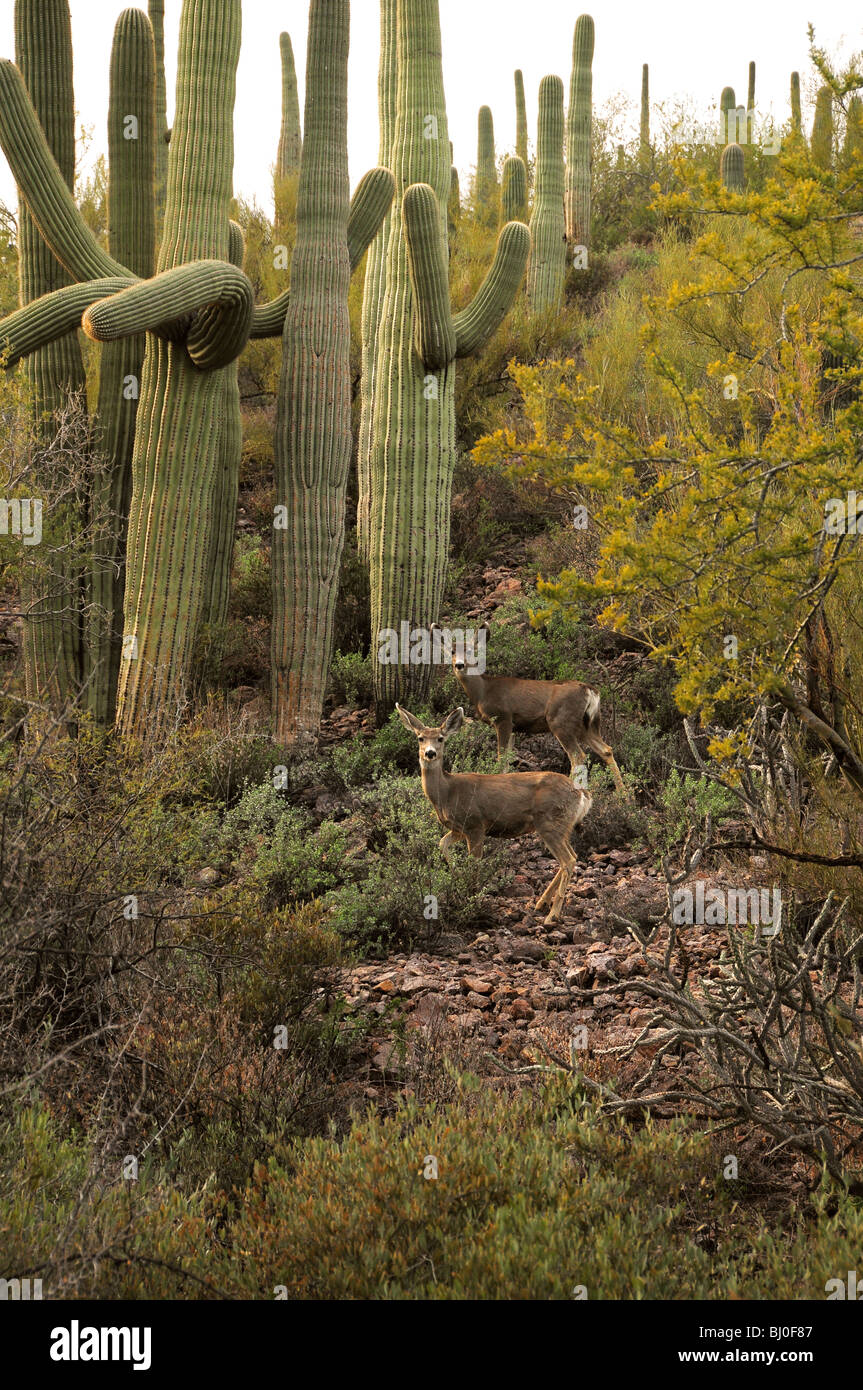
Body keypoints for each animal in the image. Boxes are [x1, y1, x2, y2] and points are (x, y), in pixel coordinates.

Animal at [396, 705, 593, 924]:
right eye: (420, 738)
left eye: (440, 738)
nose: (430, 753)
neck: (447, 792)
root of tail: (581, 793)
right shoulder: (459, 829)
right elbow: (442, 843)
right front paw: (456, 877)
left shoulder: (475, 824)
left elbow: (474, 863)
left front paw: (470, 898)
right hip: (561, 825)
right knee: (572, 856)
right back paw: (541, 903)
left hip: (550, 822)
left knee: (568, 860)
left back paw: (552, 914)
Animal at [437, 623, 631, 800]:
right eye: (452, 651)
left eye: (470, 650)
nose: (459, 665)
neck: (483, 690)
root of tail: (591, 691)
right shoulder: (513, 727)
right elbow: (508, 759)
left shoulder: (503, 718)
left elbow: (501, 758)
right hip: (588, 724)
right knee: (606, 749)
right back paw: (624, 796)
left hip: (561, 721)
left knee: (578, 757)